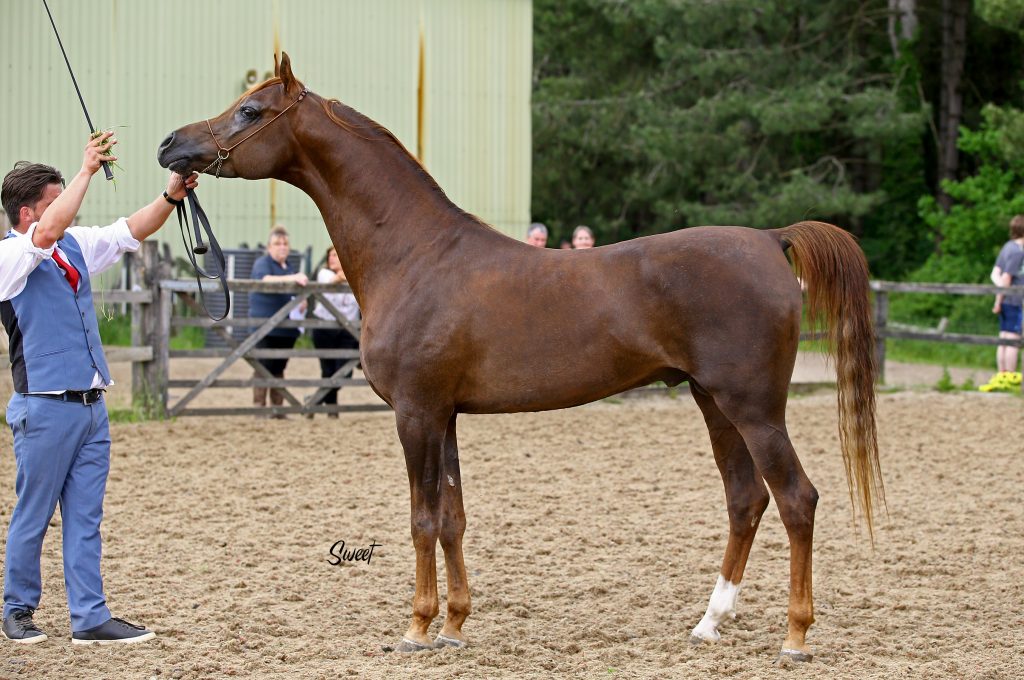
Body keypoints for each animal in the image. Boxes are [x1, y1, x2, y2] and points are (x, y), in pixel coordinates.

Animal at [157, 53, 883, 661]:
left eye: (252, 111)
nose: (171, 146)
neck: (415, 254)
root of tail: (770, 239)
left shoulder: (416, 413)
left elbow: (422, 519)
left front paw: (417, 627)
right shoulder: (446, 415)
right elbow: (453, 518)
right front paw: (454, 624)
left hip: (753, 408)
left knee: (796, 499)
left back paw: (795, 636)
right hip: (714, 402)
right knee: (745, 500)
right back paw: (708, 623)